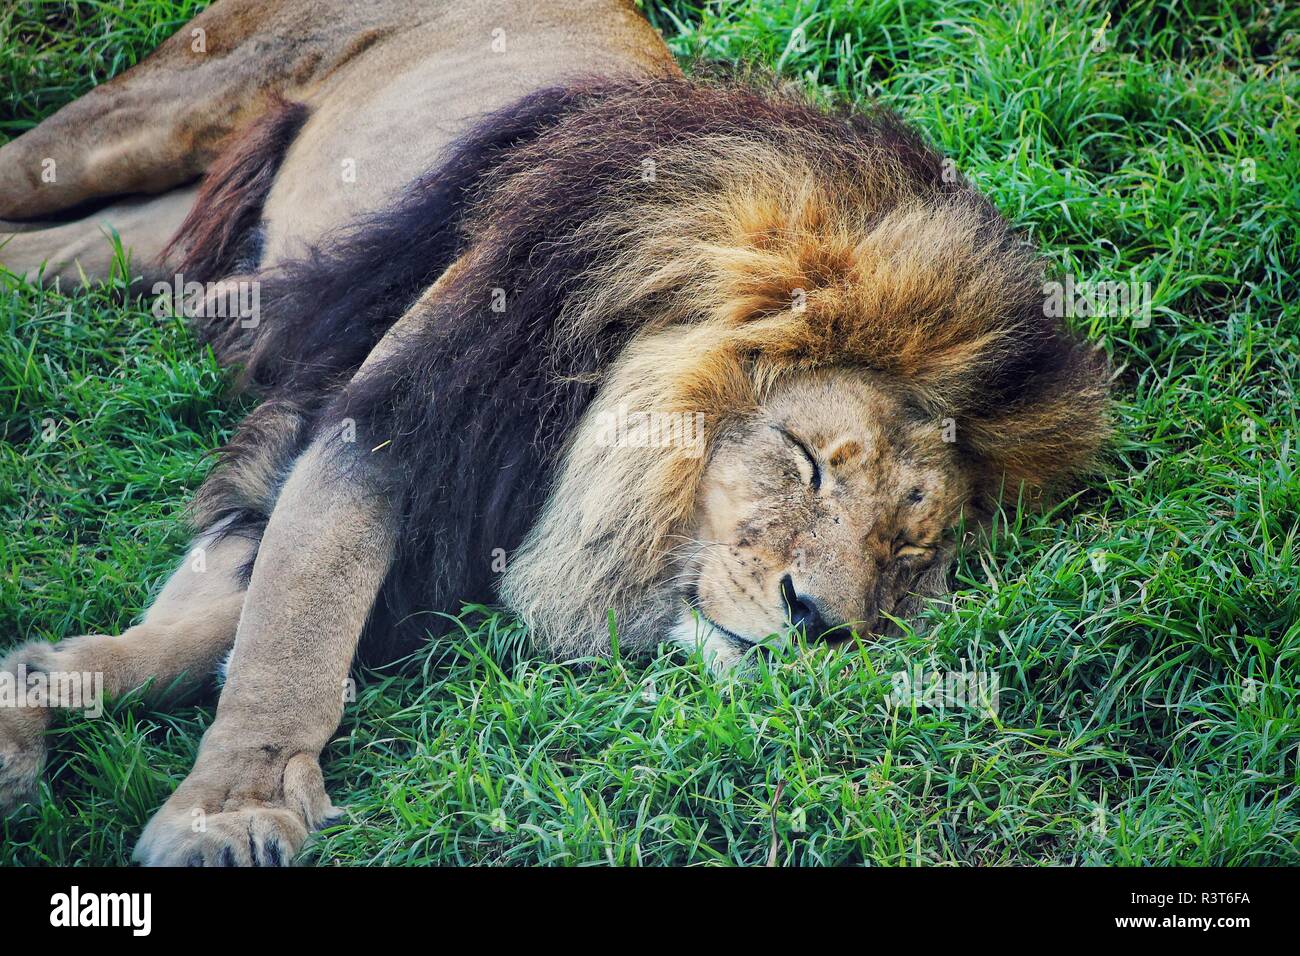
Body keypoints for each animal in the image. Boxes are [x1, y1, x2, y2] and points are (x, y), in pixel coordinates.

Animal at [0, 0, 1109, 866]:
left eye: (905, 556)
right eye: (804, 465)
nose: (816, 620)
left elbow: (215, 622)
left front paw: (39, 687)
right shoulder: (390, 429)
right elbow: (298, 630)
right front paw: (236, 808)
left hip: (147, 239)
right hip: (154, 113)